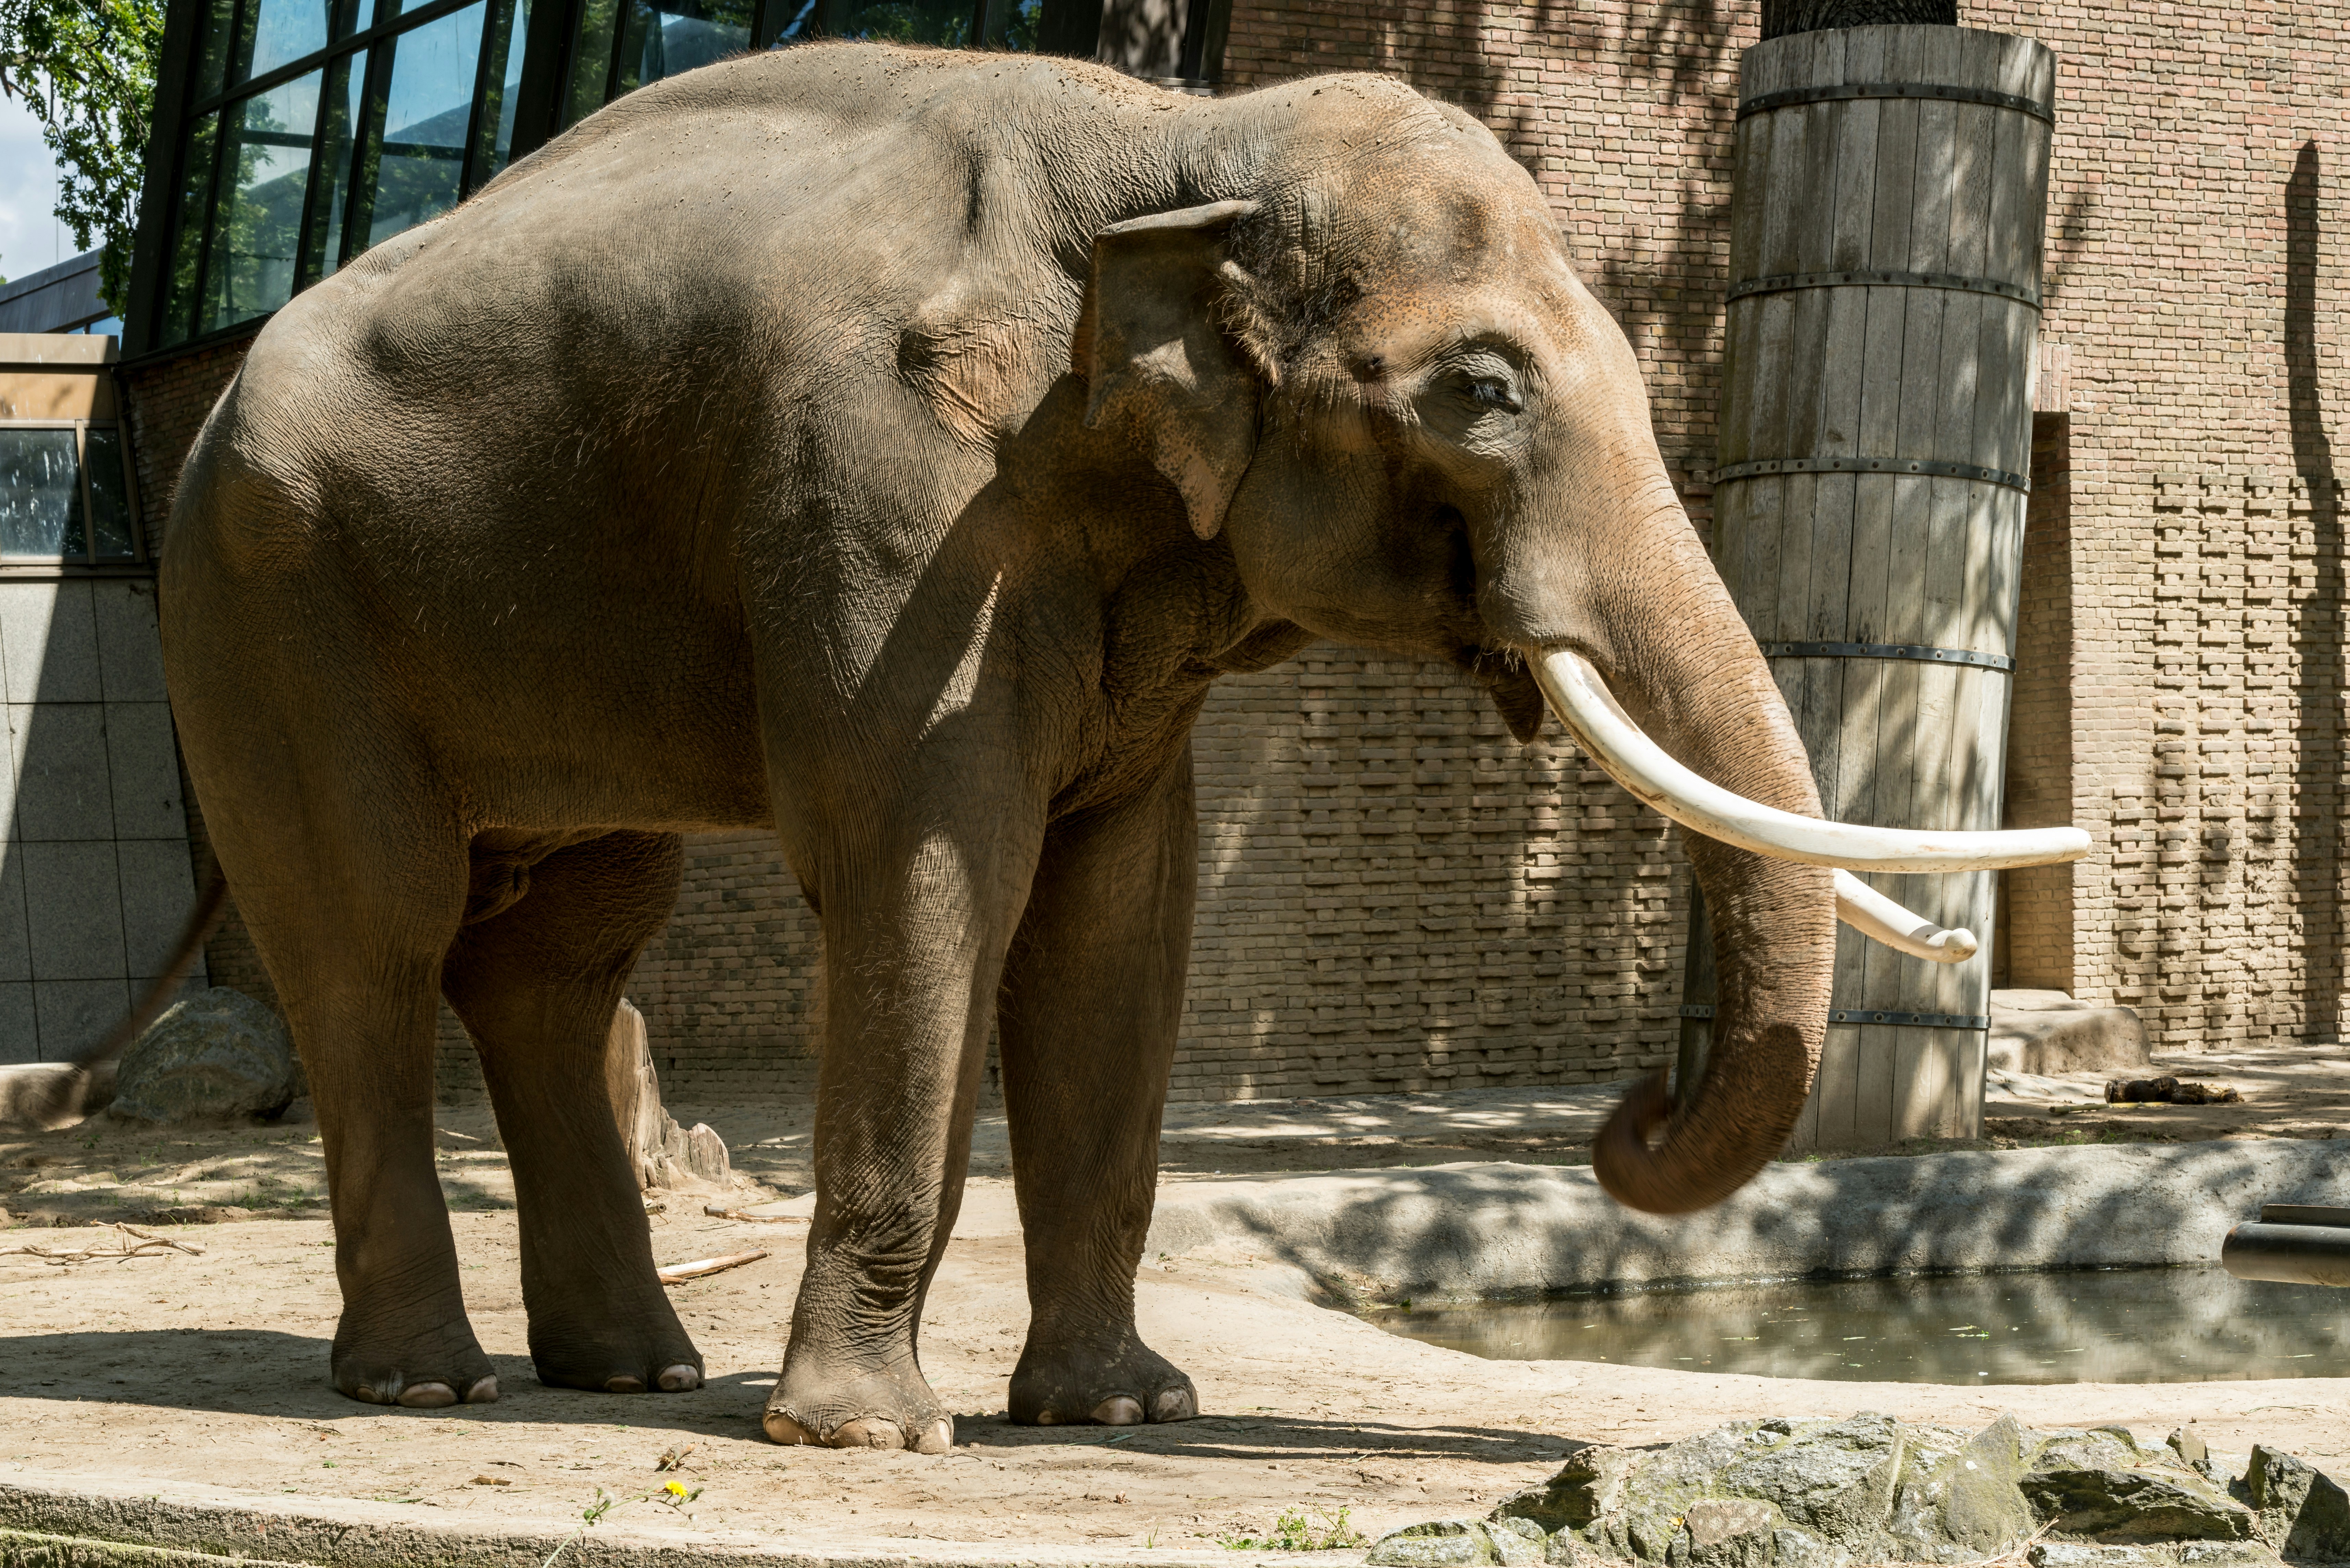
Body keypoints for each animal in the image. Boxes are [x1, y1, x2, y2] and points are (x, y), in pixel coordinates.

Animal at [156, 39, 2081, 1450]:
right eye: (1481, 393)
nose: (1623, 1120)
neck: (1176, 146)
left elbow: (1114, 912)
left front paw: (1121, 1412)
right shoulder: (888, 499)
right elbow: (930, 864)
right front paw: (865, 1438)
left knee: (564, 944)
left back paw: (632, 1373)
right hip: (270, 600)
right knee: (376, 936)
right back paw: (427, 1380)